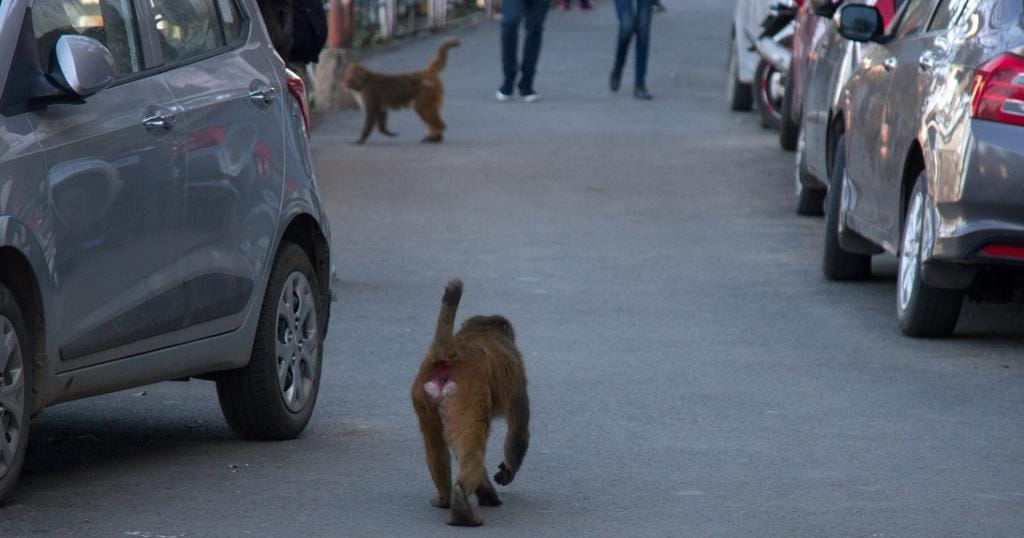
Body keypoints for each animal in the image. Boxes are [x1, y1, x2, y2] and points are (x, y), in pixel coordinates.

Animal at [410, 278, 530, 527]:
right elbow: (518, 428)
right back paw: (461, 503)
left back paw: (445, 499)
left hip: (422, 395)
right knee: (473, 440)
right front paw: (509, 471)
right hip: (467, 392)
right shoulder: (517, 373)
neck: (481, 330)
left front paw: (487, 491)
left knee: (437, 443)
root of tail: (446, 354)